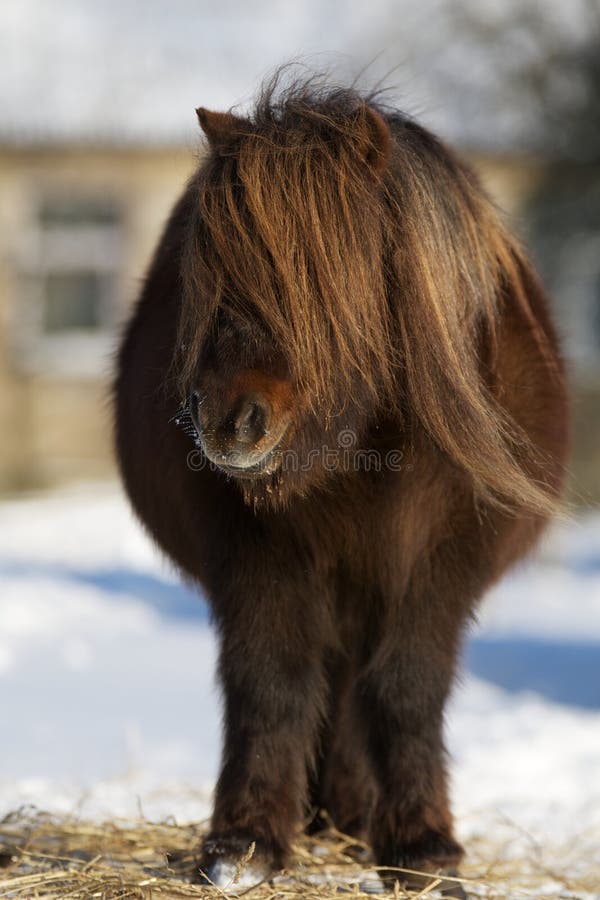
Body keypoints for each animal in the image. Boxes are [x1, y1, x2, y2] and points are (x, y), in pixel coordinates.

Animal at [114, 73, 569, 890]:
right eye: (207, 272)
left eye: (324, 273)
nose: (226, 422)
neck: (367, 445)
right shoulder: (257, 554)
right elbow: (271, 682)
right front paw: (245, 844)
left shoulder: (445, 557)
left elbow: (407, 687)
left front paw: (422, 846)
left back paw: (357, 818)